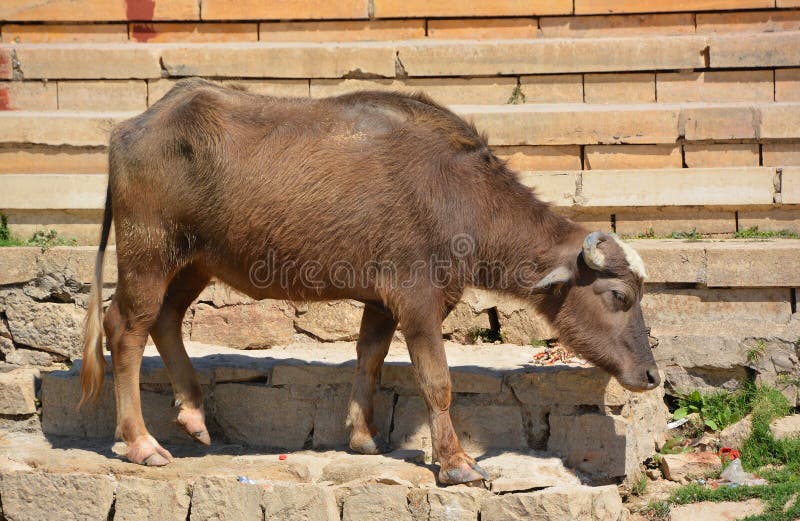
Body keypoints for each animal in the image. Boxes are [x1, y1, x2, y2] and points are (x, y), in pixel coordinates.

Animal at [80, 78, 659, 486]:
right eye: (619, 296)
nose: (652, 376)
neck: (459, 195)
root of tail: (131, 129)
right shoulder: (419, 302)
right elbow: (437, 381)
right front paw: (456, 463)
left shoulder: (381, 303)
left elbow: (369, 358)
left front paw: (362, 436)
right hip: (148, 252)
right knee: (125, 328)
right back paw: (142, 444)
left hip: (195, 260)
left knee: (166, 320)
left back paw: (194, 416)